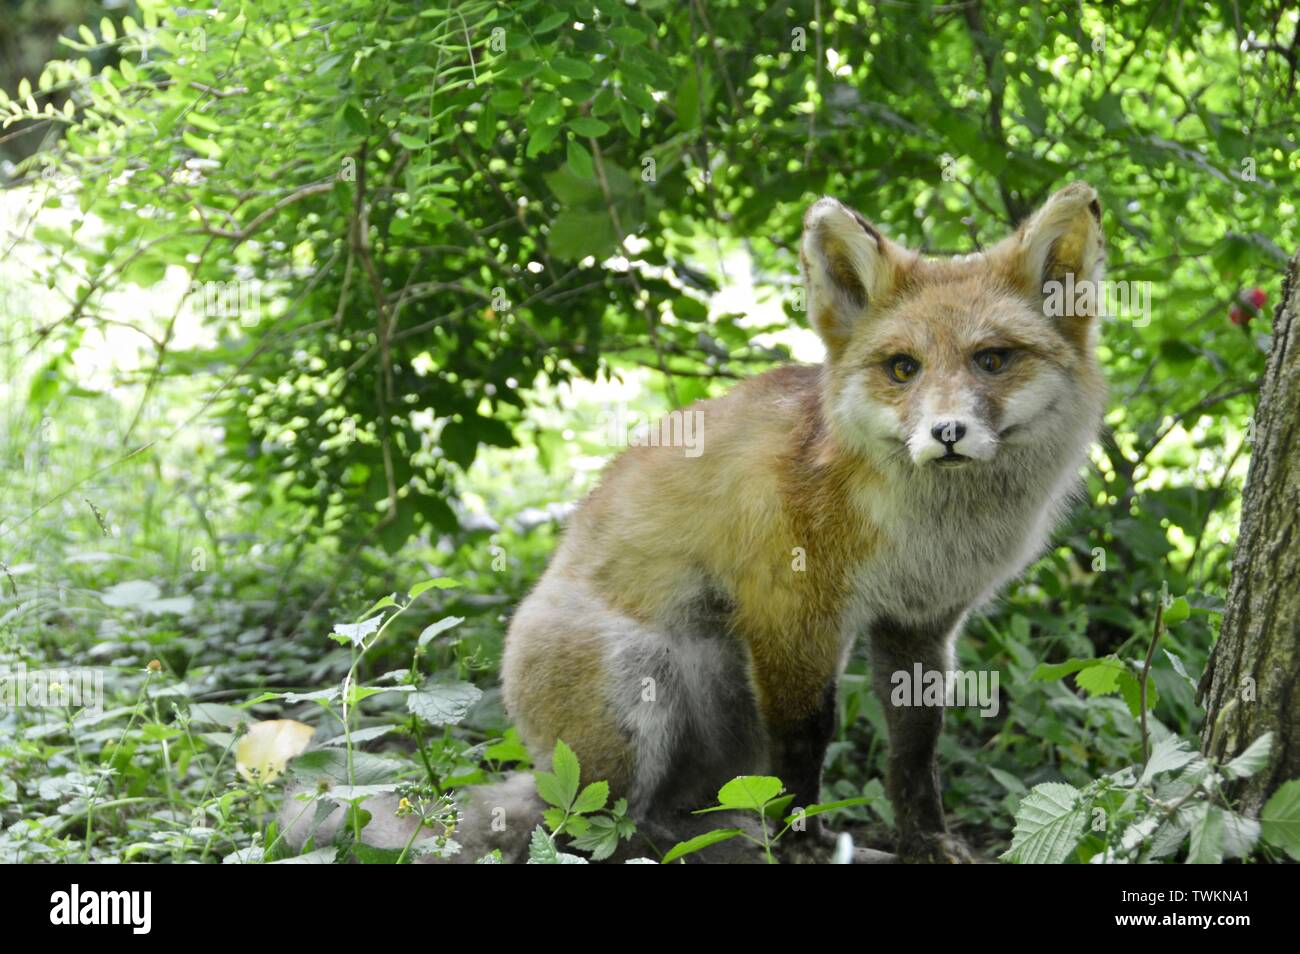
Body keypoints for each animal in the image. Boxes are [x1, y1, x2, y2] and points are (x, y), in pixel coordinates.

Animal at [281, 183, 1106, 863]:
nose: (946, 434)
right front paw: (802, 847)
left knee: (679, 808)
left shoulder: (922, 623)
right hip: (640, 684)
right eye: (903, 369)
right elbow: (804, 744)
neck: (926, 529)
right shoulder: (788, 613)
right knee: (580, 829)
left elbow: (914, 754)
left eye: (992, 360)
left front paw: (926, 842)